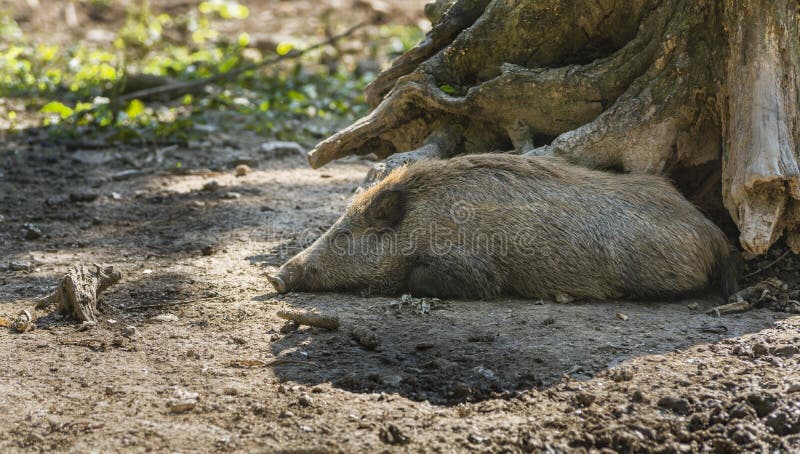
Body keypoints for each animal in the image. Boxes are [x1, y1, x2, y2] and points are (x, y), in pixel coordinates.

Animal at [268, 154, 737, 300]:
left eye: (343, 234)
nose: (277, 276)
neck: (421, 222)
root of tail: (714, 233)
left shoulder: (475, 269)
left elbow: (422, 278)